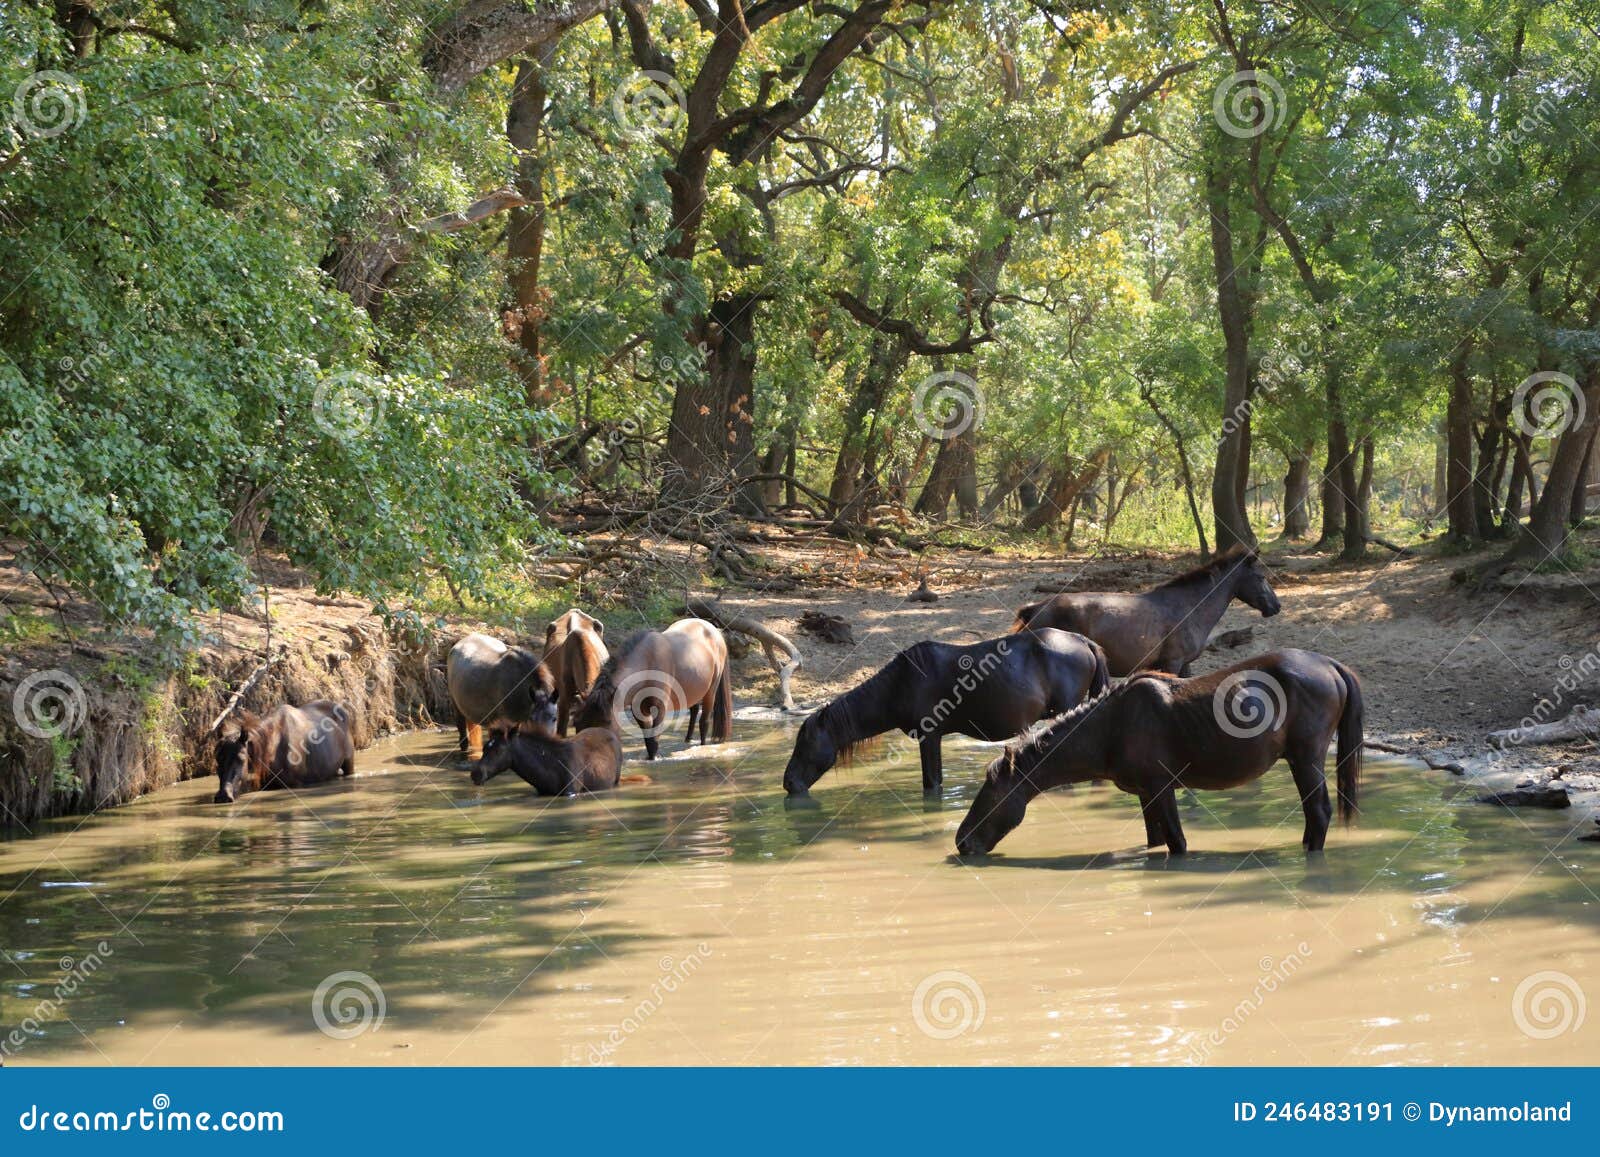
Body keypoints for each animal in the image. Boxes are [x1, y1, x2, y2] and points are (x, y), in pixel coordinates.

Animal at [574, 618, 732, 760]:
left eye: (607, 722)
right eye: (577, 722)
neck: (647, 664)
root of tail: (715, 631)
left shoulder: (660, 708)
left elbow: (654, 739)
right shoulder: (639, 710)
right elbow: (648, 738)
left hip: (711, 691)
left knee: (704, 721)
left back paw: (703, 745)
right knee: (694, 711)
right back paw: (687, 739)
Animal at [783, 629, 1110, 795]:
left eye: (805, 743)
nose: (787, 783)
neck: (900, 683)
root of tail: (1085, 641)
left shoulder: (930, 737)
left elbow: (932, 783)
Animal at [954, 649, 1363, 857]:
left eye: (992, 795)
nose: (962, 842)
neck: (1112, 726)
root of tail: (1330, 665)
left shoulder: (1161, 788)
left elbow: (1177, 844)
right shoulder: (1146, 794)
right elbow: (1156, 841)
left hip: (1307, 758)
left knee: (1320, 813)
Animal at [1011, 544, 1281, 676]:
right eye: (1261, 576)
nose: (1276, 607)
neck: (1189, 608)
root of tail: (1036, 609)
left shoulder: (1184, 665)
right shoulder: (1172, 663)